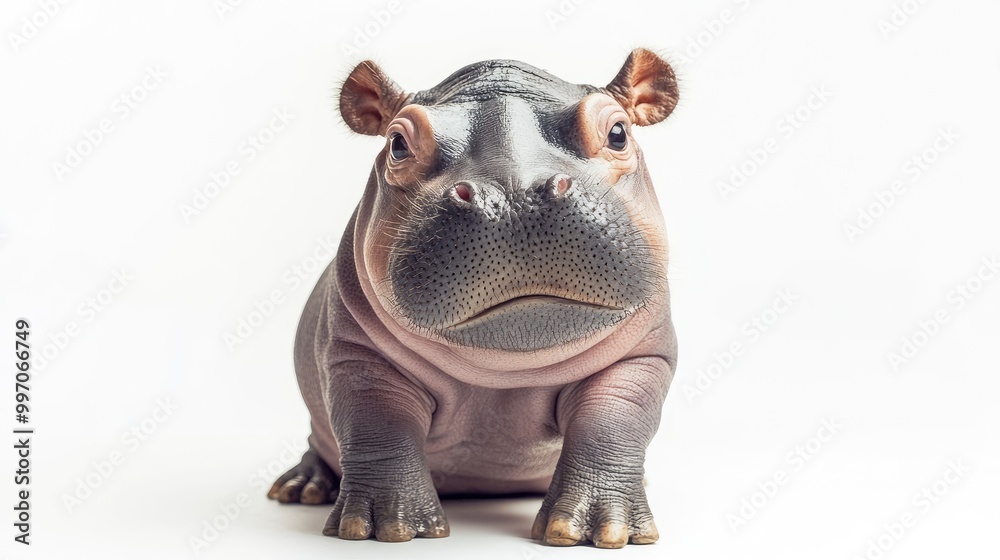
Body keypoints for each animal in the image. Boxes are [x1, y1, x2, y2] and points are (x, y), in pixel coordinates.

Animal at [268, 48, 680, 548]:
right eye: (397, 143)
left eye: (618, 132)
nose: (514, 195)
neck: (506, 365)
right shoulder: (356, 357)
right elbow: (379, 430)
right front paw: (387, 529)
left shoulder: (642, 357)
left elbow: (610, 426)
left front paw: (601, 531)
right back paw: (301, 487)